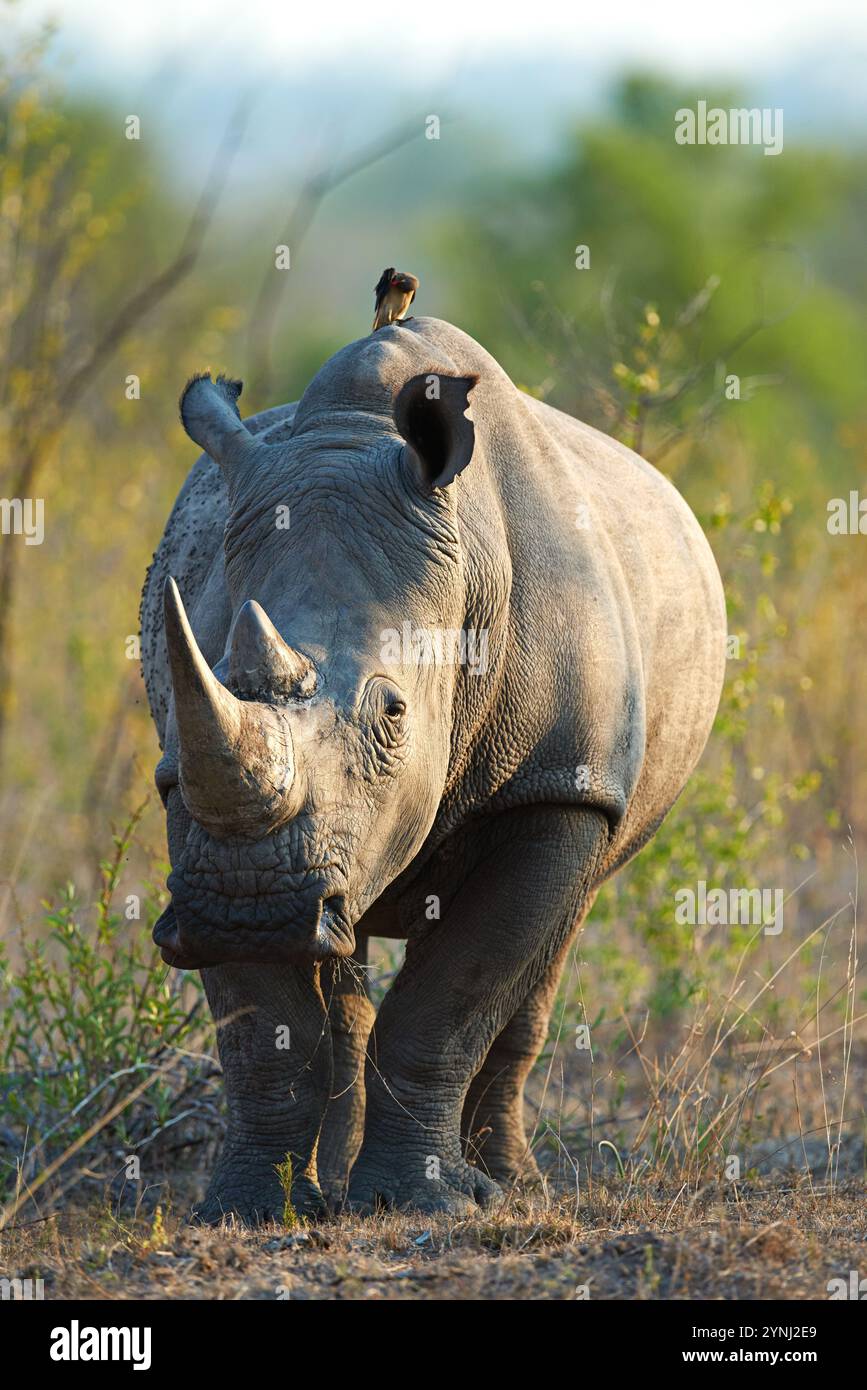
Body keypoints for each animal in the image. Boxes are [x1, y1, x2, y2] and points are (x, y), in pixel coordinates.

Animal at [140, 316, 725, 1223]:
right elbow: (265, 1029)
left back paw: (512, 1186)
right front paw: (247, 1210)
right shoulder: (196, 808)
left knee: (547, 953)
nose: (253, 908)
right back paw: (340, 1184)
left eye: (393, 713)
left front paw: (429, 1204)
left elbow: (452, 997)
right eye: (209, 676)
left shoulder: (558, 785)